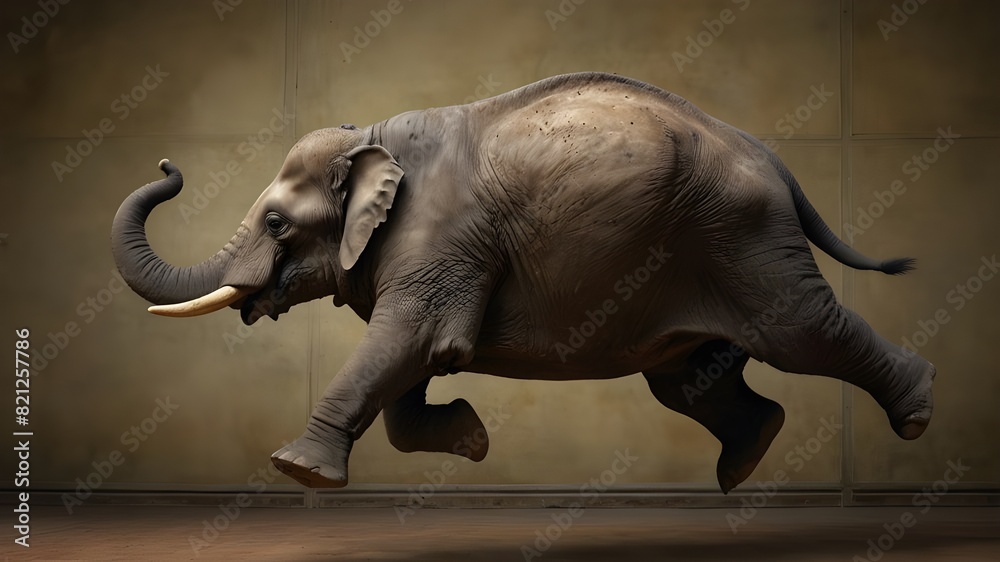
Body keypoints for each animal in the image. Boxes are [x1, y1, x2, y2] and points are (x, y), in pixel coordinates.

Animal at [111, 72, 934, 492]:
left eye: (278, 223)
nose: (168, 165)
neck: (372, 134)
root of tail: (776, 160)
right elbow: (411, 363)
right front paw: (473, 440)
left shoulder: (442, 239)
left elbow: (407, 339)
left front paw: (298, 471)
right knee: (686, 379)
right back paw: (745, 464)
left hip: (747, 238)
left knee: (802, 334)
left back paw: (917, 414)